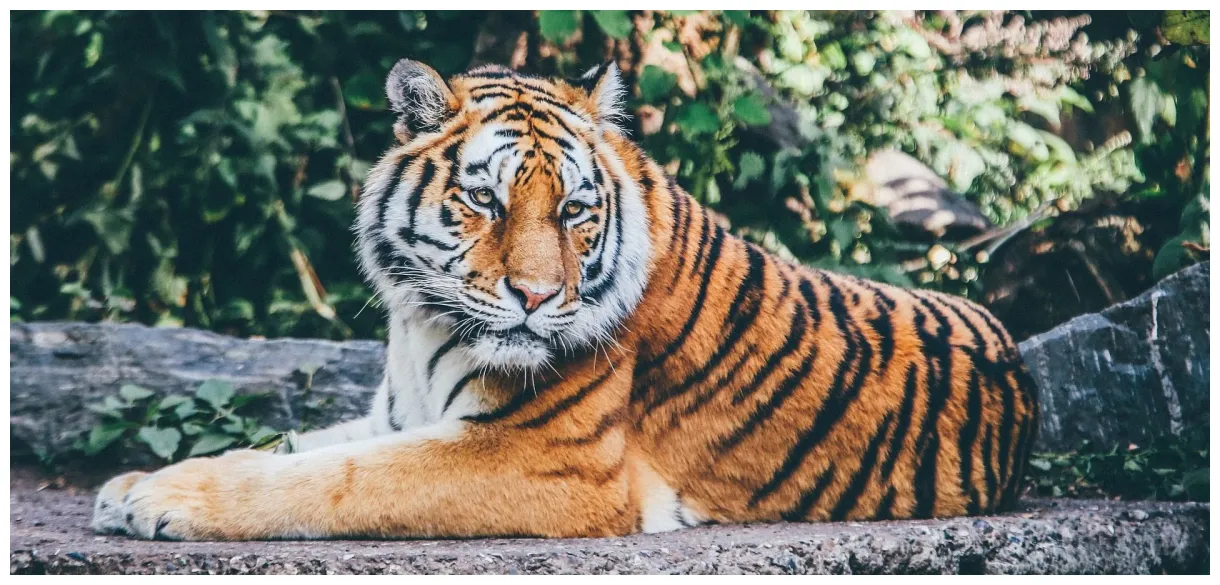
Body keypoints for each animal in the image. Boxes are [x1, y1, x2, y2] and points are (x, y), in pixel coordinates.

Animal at [91, 59, 1039, 541]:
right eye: (486, 200)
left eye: (576, 210)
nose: (538, 296)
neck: (420, 322)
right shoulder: (398, 414)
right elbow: (291, 447)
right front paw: (133, 483)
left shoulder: (543, 459)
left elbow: (334, 479)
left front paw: (163, 501)